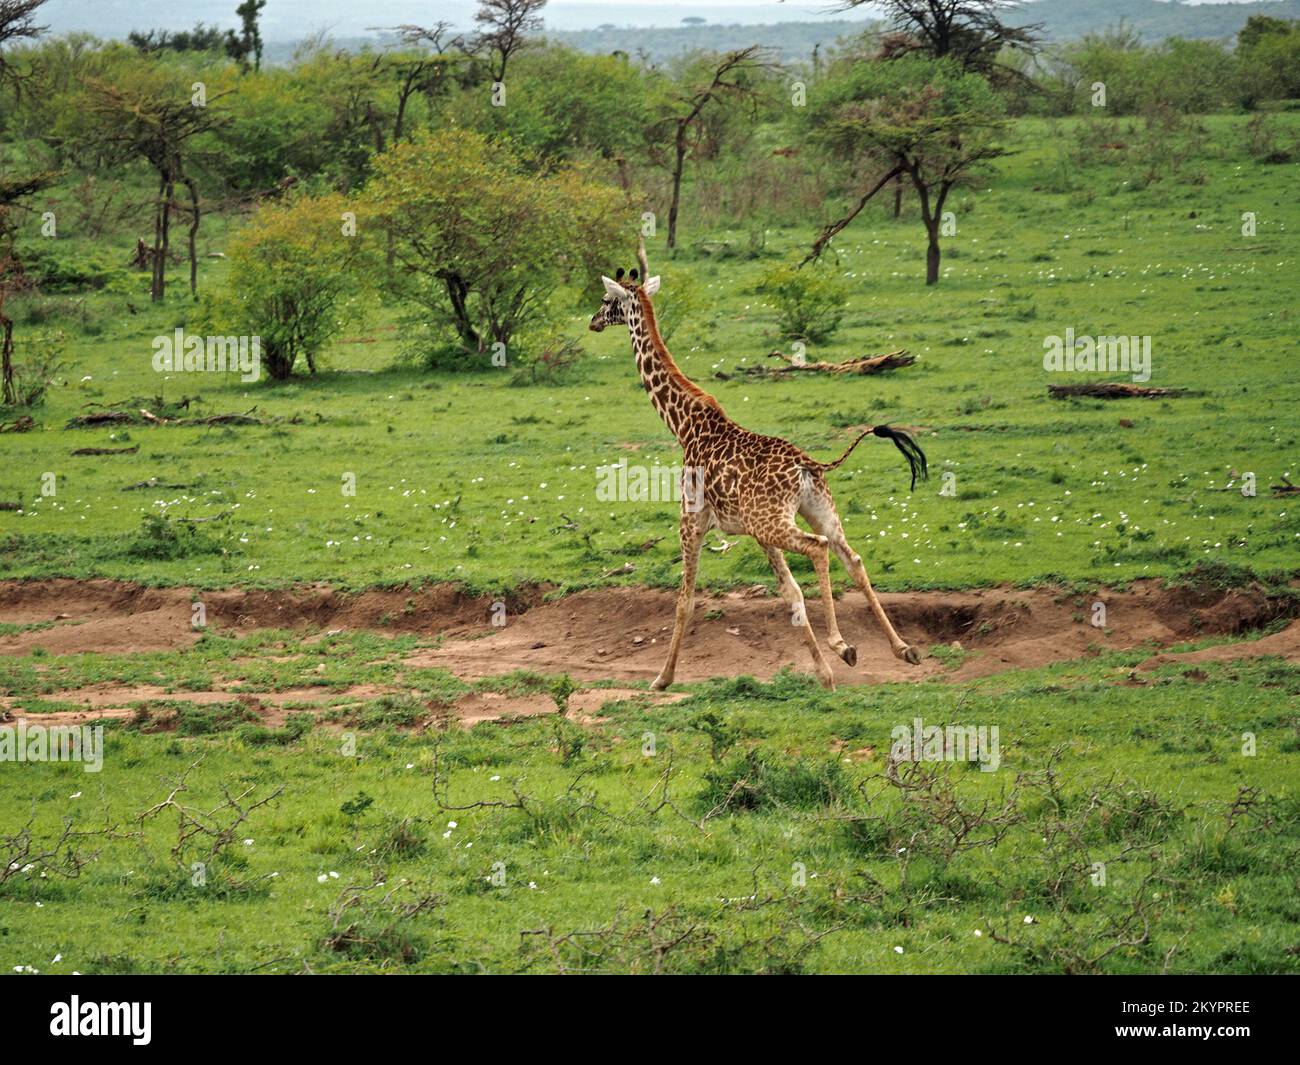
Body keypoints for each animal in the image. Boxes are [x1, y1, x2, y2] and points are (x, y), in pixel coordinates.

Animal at [588, 257, 929, 691]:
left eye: (605, 300)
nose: (593, 322)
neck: (684, 424)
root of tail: (809, 465)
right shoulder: (753, 533)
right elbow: (791, 594)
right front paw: (823, 673)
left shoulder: (692, 520)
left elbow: (685, 600)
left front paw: (662, 678)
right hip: (815, 510)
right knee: (851, 557)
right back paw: (903, 649)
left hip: (774, 521)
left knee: (819, 548)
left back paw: (842, 644)